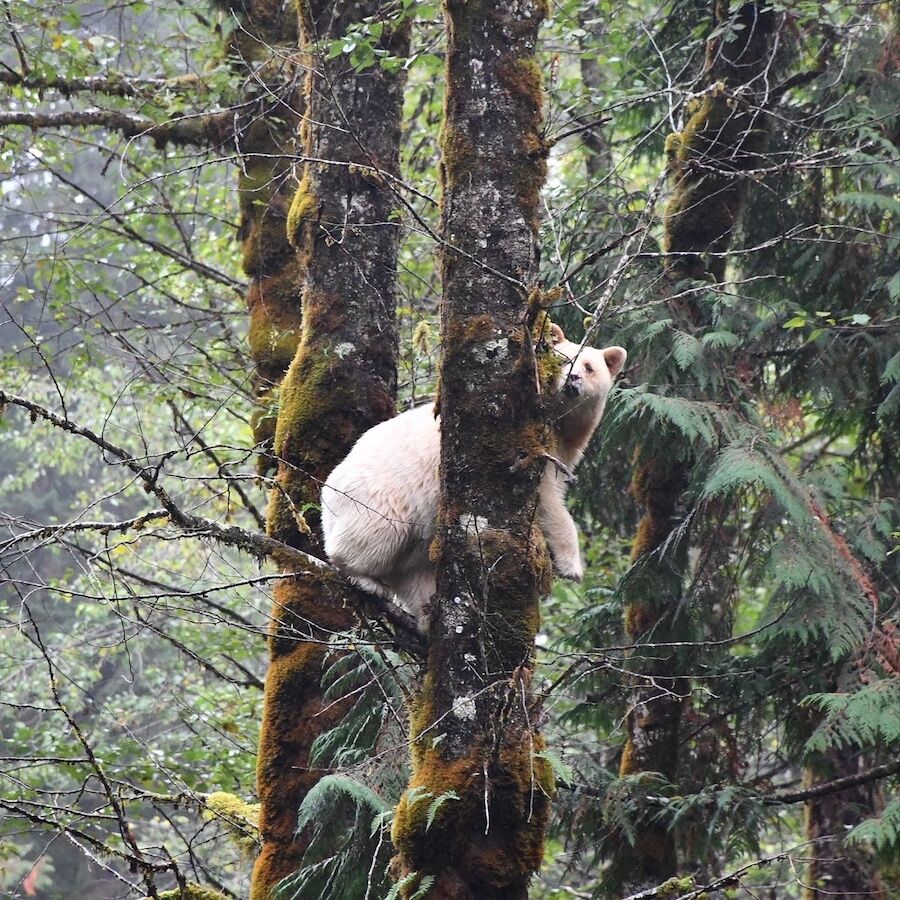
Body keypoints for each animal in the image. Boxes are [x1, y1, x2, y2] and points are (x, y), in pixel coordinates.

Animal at [321, 324, 626, 626]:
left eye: (589, 367)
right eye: (562, 360)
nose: (573, 379)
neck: (557, 424)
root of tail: (327, 493)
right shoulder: (528, 446)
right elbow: (546, 500)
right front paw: (571, 566)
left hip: (413, 549)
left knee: (416, 573)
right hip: (377, 493)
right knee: (377, 531)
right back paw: (363, 577)